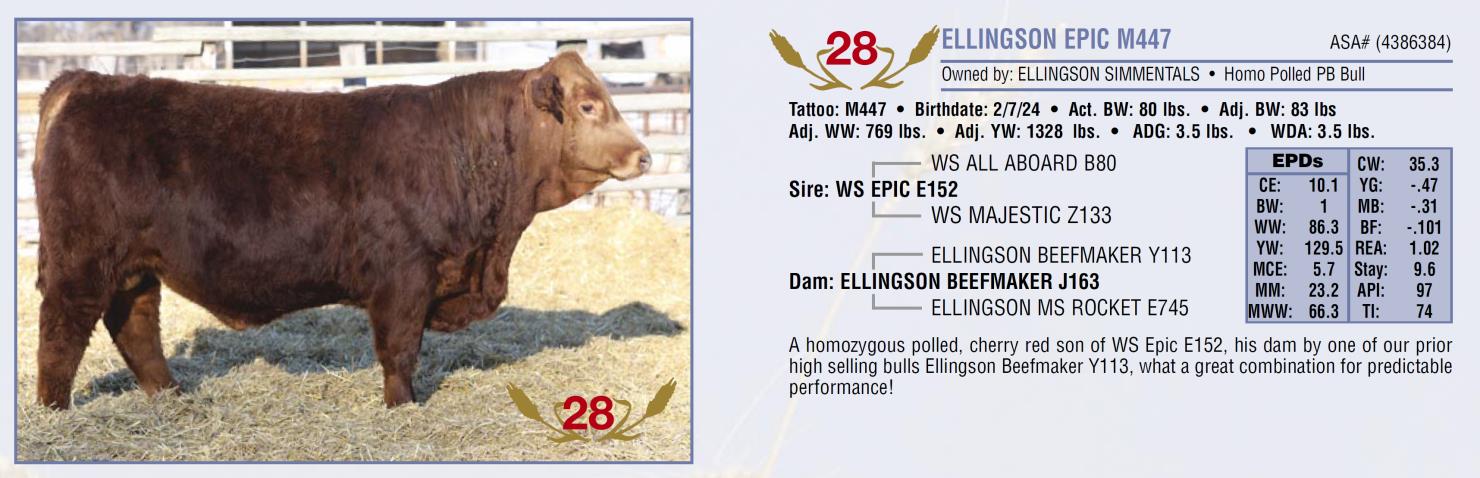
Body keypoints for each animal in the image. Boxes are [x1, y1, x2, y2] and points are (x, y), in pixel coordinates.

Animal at [32, 51, 651, 409]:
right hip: (80, 260)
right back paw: (53, 410)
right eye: (589, 105)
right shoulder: (405, 276)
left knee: (135, 325)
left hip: (135, 264)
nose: (643, 156)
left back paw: (170, 395)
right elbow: (400, 350)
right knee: (62, 331)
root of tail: (84, 82)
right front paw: (403, 407)